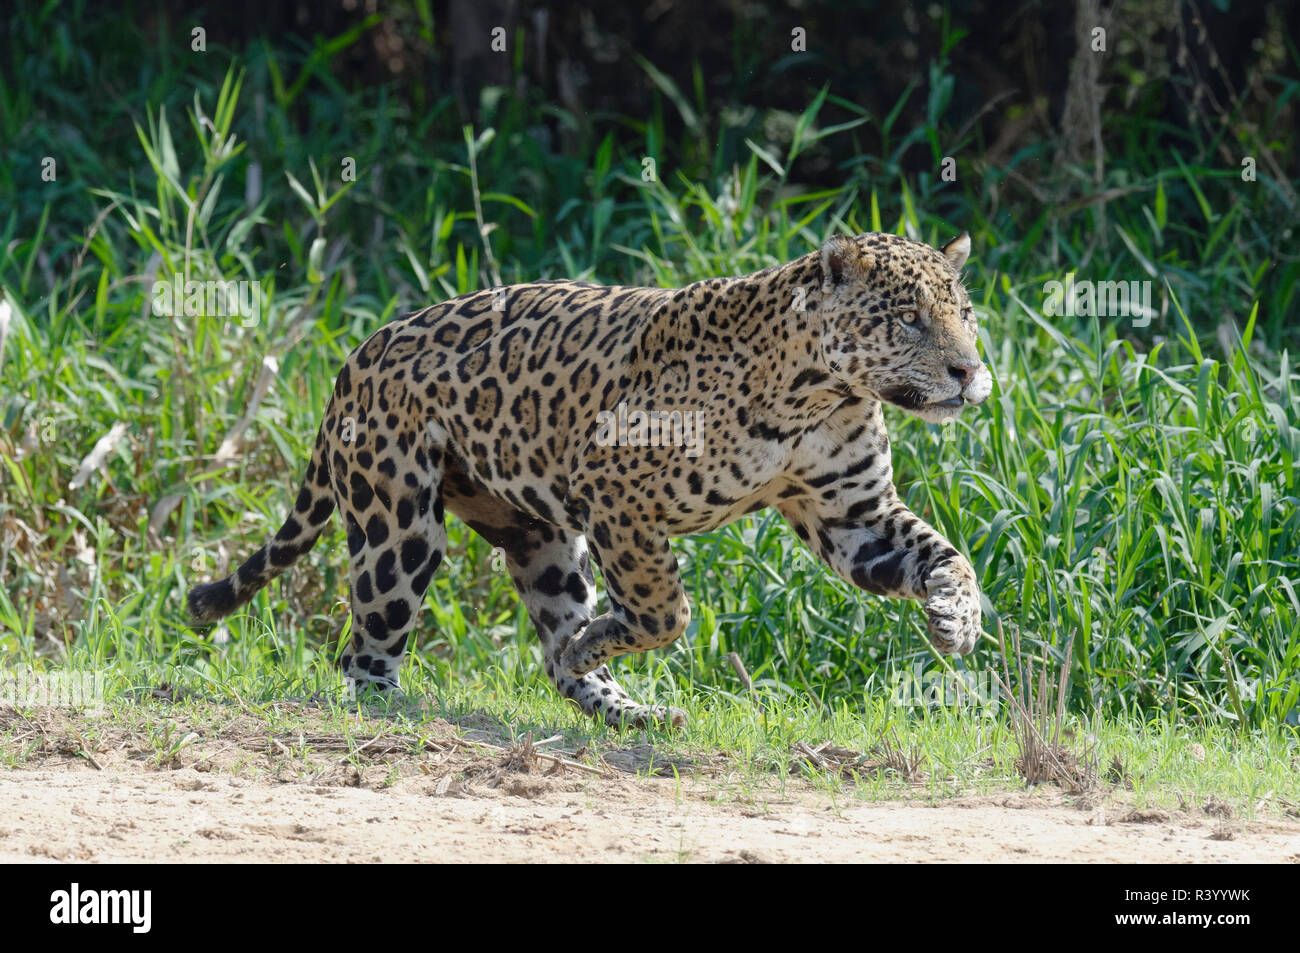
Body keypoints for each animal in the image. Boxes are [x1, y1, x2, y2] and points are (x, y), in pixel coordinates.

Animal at [188, 231, 993, 728]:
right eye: (907, 319)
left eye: (966, 314)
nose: (968, 371)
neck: (819, 392)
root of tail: (357, 355)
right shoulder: (617, 495)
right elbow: (666, 608)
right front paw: (613, 631)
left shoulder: (852, 511)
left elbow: (948, 555)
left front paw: (957, 621)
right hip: (400, 528)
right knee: (364, 646)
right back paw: (390, 710)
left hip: (539, 536)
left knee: (551, 650)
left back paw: (628, 709)